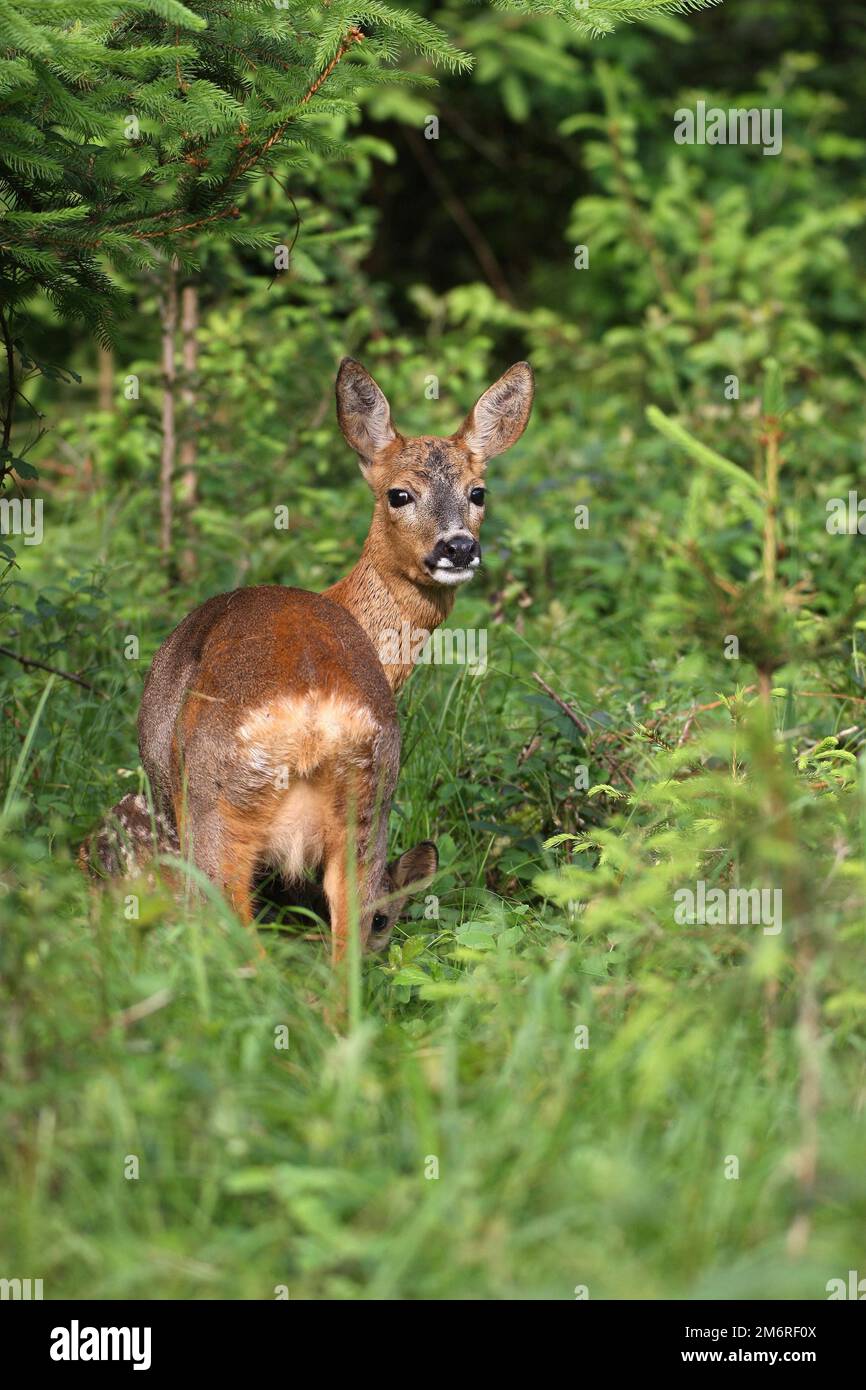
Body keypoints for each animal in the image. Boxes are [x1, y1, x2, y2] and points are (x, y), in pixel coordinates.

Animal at [83, 357, 534, 965]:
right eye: (399, 494)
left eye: (477, 491)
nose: (458, 547)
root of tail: (312, 717)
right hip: (370, 804)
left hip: (211, 805)